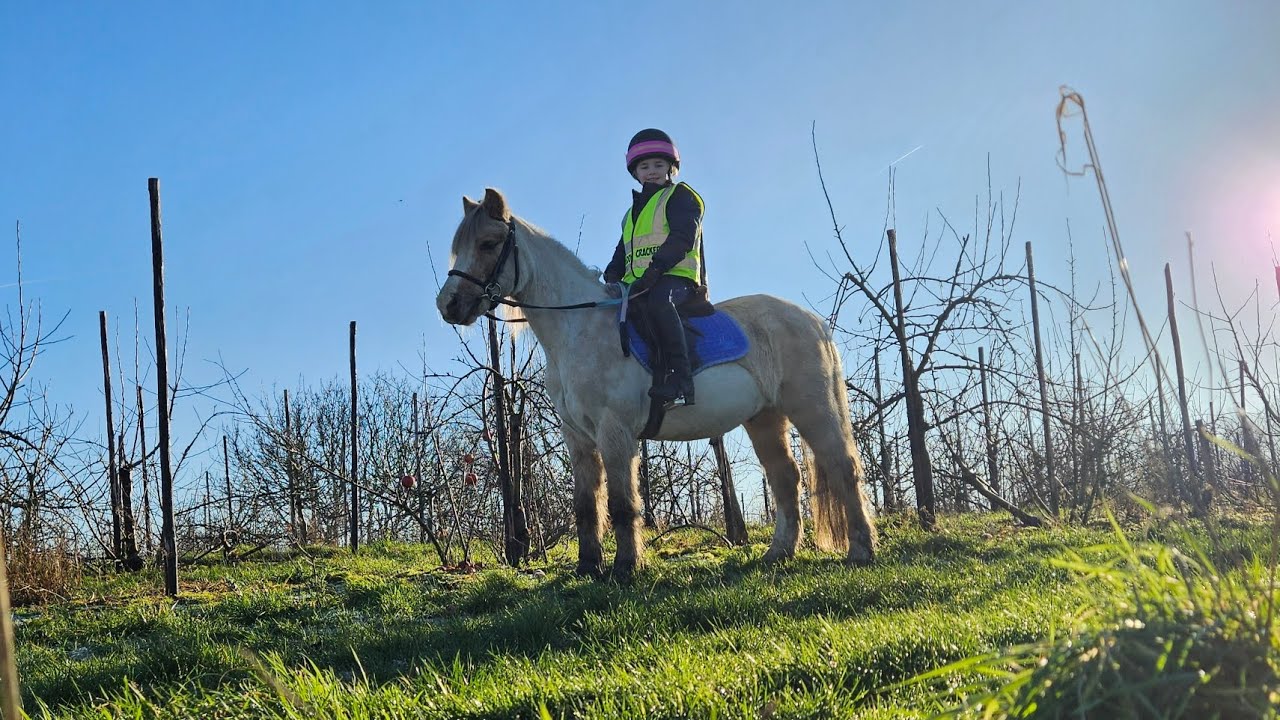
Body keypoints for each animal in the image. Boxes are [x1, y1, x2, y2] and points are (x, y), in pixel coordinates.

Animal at [436, 188, 877, 581]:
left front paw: (626, 568)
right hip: (765, 418)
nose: (449, 305)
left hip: (813, 408)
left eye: (489, 243)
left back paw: (861, 552)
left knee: (843, 467)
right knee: (786, 477)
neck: (578, 329)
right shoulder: (577, 437)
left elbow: (621, 504)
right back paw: (778, 554)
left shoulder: (615, 432)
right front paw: (587, 568)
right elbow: (586, 505)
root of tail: (813, 321)